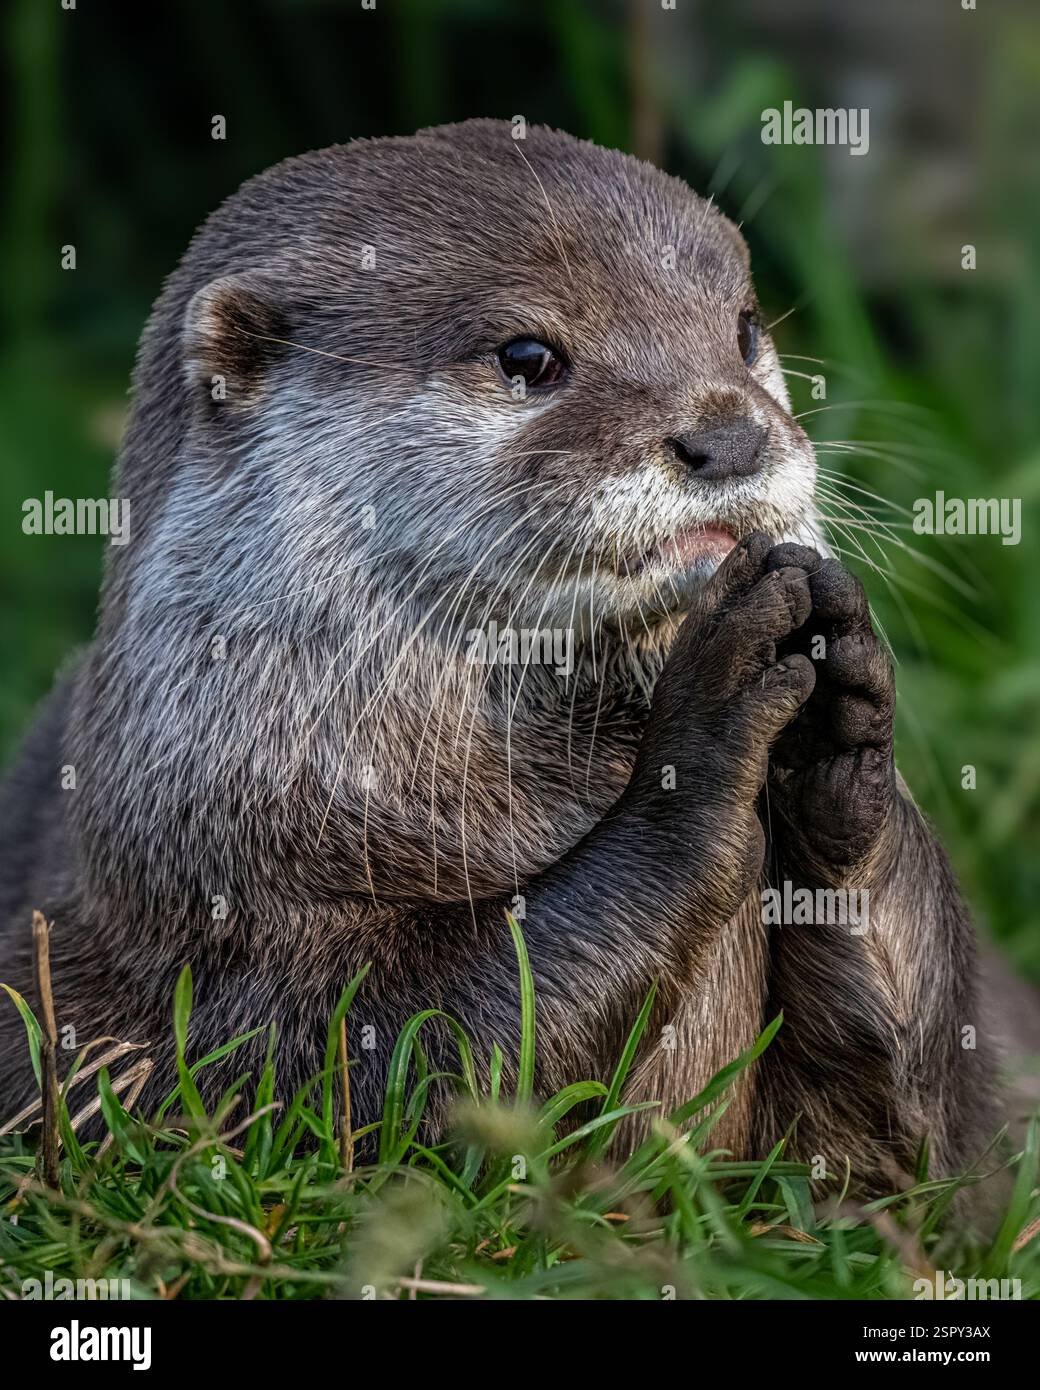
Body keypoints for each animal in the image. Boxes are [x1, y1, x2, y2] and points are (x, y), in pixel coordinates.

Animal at [0, 120, 993, 1188]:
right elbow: (402, 1068)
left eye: (744, 329)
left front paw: (841, 728)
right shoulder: (224, 952)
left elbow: (883, 1152)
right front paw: (710, 729)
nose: (729, 435)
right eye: (528, 355)